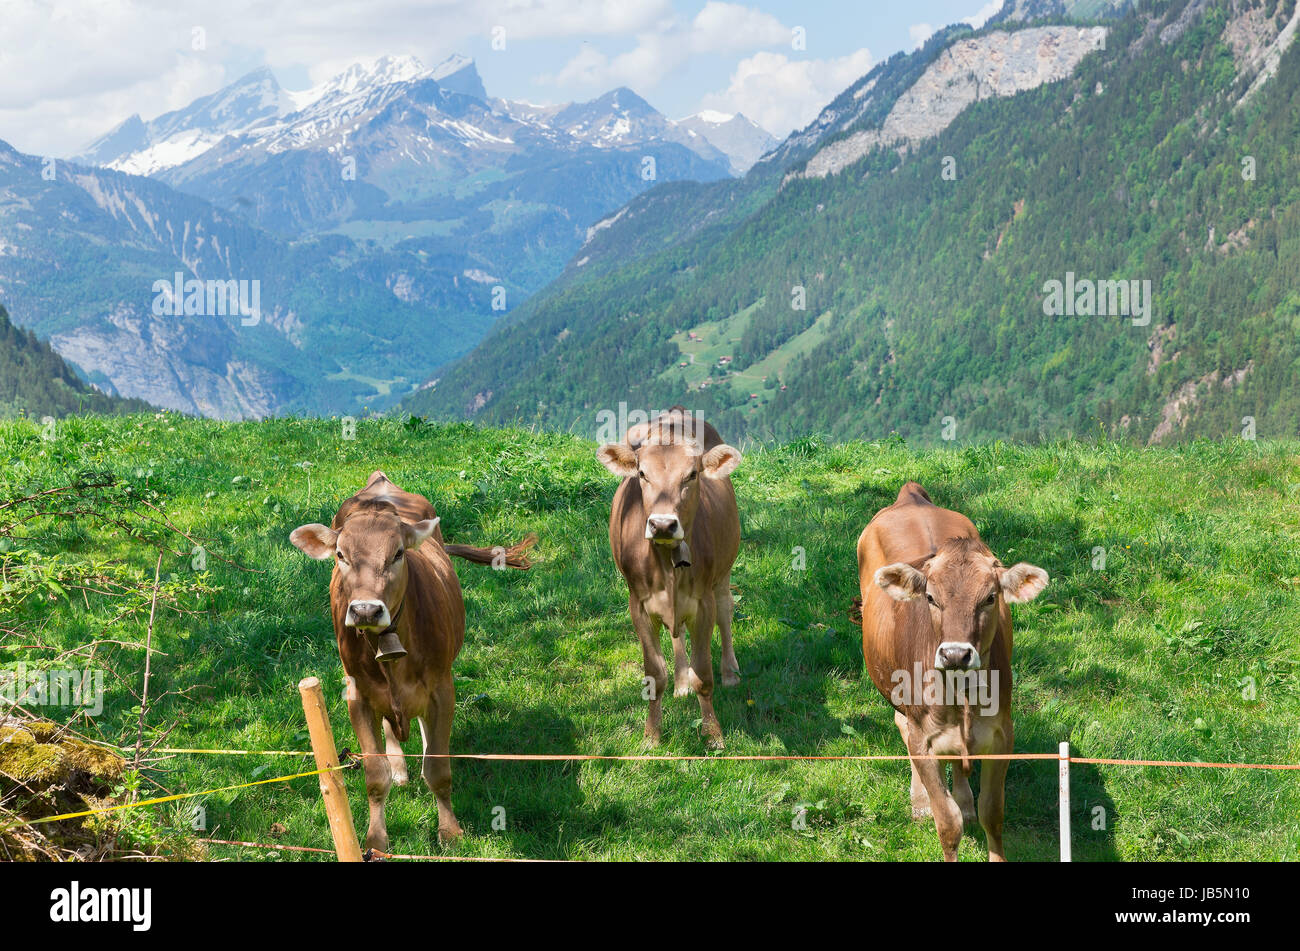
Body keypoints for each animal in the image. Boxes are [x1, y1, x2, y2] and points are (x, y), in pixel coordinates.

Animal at [290, 470, 534, 849]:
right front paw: (376, 839)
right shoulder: (357, 694)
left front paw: (450, 831)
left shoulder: (442, 688)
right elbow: (375, 777)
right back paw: (400, 769)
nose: (365, 610)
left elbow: (438, 768)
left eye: (398, 553)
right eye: (341, 554)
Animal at [596, 408, 742, 748]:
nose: (662, 524)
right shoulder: (638, 604)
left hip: (723, 574)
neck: (665, 562)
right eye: (641, 474)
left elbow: (704, 675)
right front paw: (652, 736)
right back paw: (681, 681)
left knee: (726, 611)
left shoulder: (703, 603)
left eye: (692, 474)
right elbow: (654, 674)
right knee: (678, 634)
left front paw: (713, 735)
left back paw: (730, 672)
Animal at [857, 482, 1048, 861]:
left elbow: (993, 813)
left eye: (990, 598)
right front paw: (933, 806)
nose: (956, 654)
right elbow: (947, 822)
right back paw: (920, 801)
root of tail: (911, 495)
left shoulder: (1002, 735)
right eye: (930, 597)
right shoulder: (923, 738)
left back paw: (964, 799)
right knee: (902, 726)